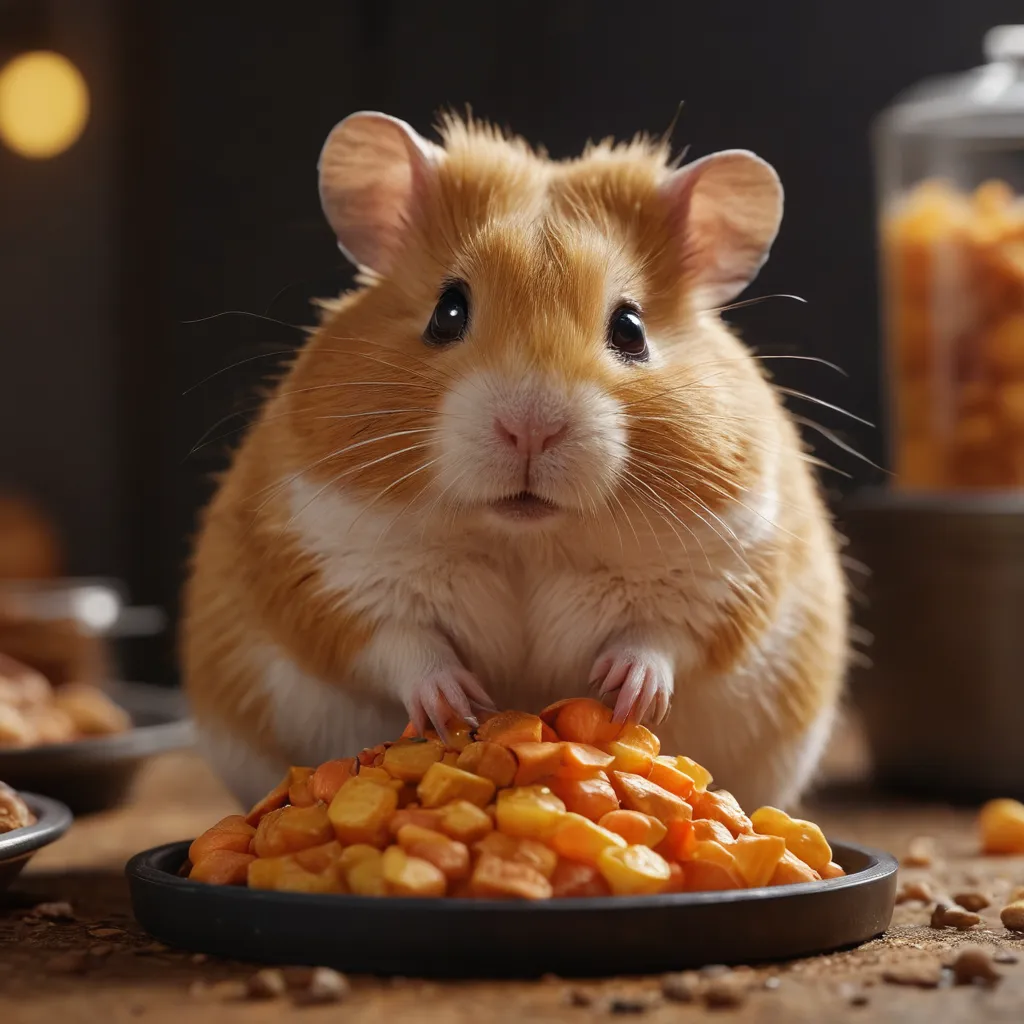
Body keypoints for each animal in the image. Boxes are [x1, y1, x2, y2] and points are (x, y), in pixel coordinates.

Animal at [182, 110, 848, 812]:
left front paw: (624, 698)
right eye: (447, 312)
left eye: (631, 328)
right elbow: (403, 644)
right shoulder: (331, 565)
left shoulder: (724, 572)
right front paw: (461, 707)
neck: (526, 537)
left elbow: (660, 638)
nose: (531, 428)